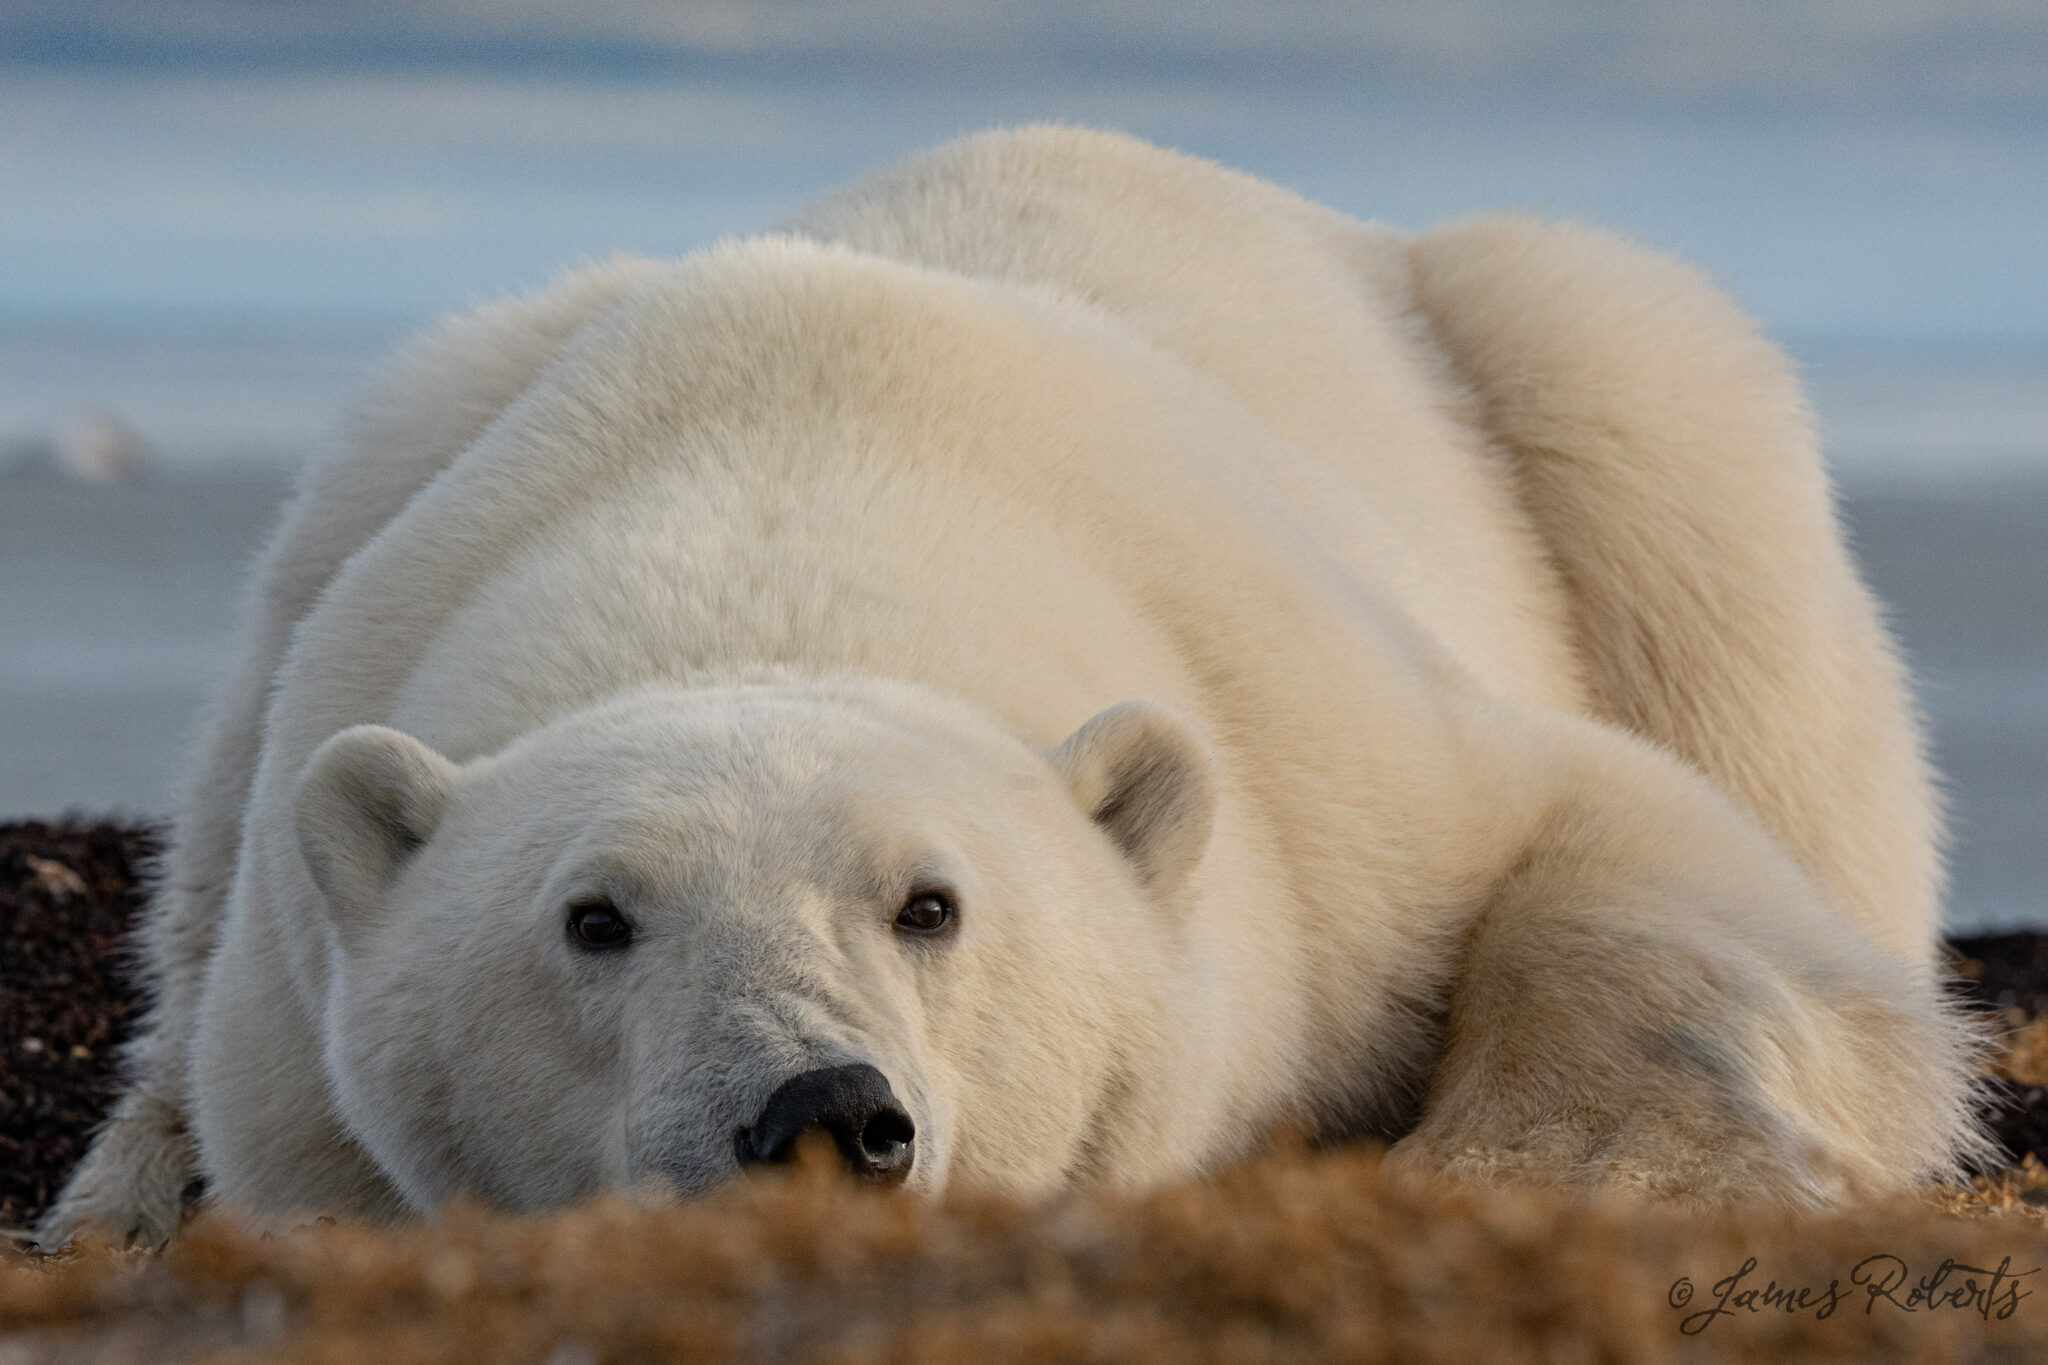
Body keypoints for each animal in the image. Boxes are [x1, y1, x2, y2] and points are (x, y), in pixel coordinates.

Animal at [40, 125, 1984, 1248]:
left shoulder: (1319, 747)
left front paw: (1570, 1171)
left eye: (931, 903)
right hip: (372, 469)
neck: (788, 514)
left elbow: (1634, 844)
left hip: (1565, 389)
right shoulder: (299, 1055)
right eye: (594, 919)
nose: (820, 1114)